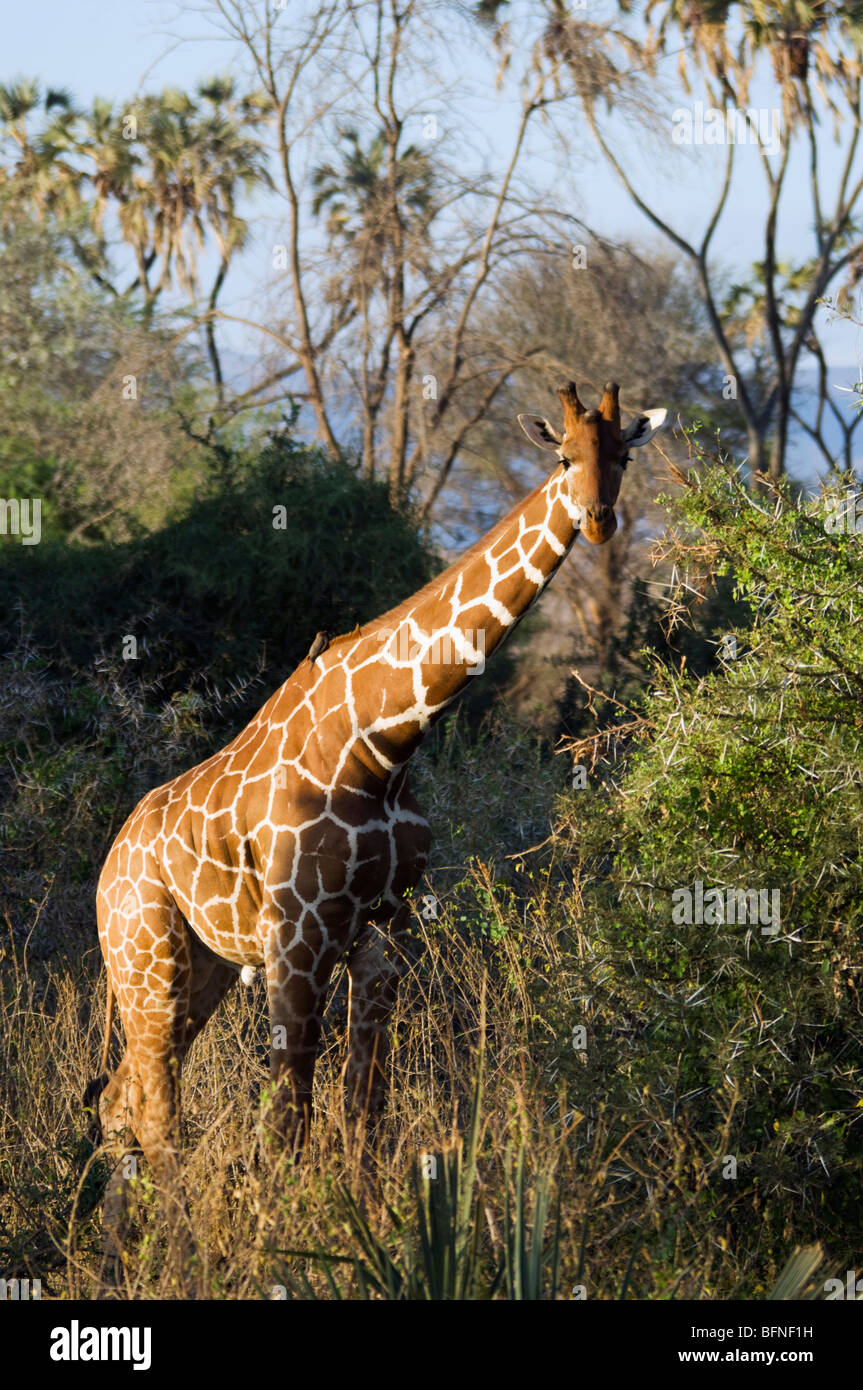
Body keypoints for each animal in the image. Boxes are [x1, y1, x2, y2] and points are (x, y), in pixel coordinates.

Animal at [89, 381, 665, 1259]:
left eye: (624, 455)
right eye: (564, 456)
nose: (598, 518)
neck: (383, 740)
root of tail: (108, 866)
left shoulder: (385, 932)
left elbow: (366, 1105)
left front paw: (365, 1230)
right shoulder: (297, 936)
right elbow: (288, 1115)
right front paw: (284, 1242)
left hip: (203, 967)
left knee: (120, 1098)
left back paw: (124, 1246)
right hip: (144, 954)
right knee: (155, 1104)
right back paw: (180, 1244)